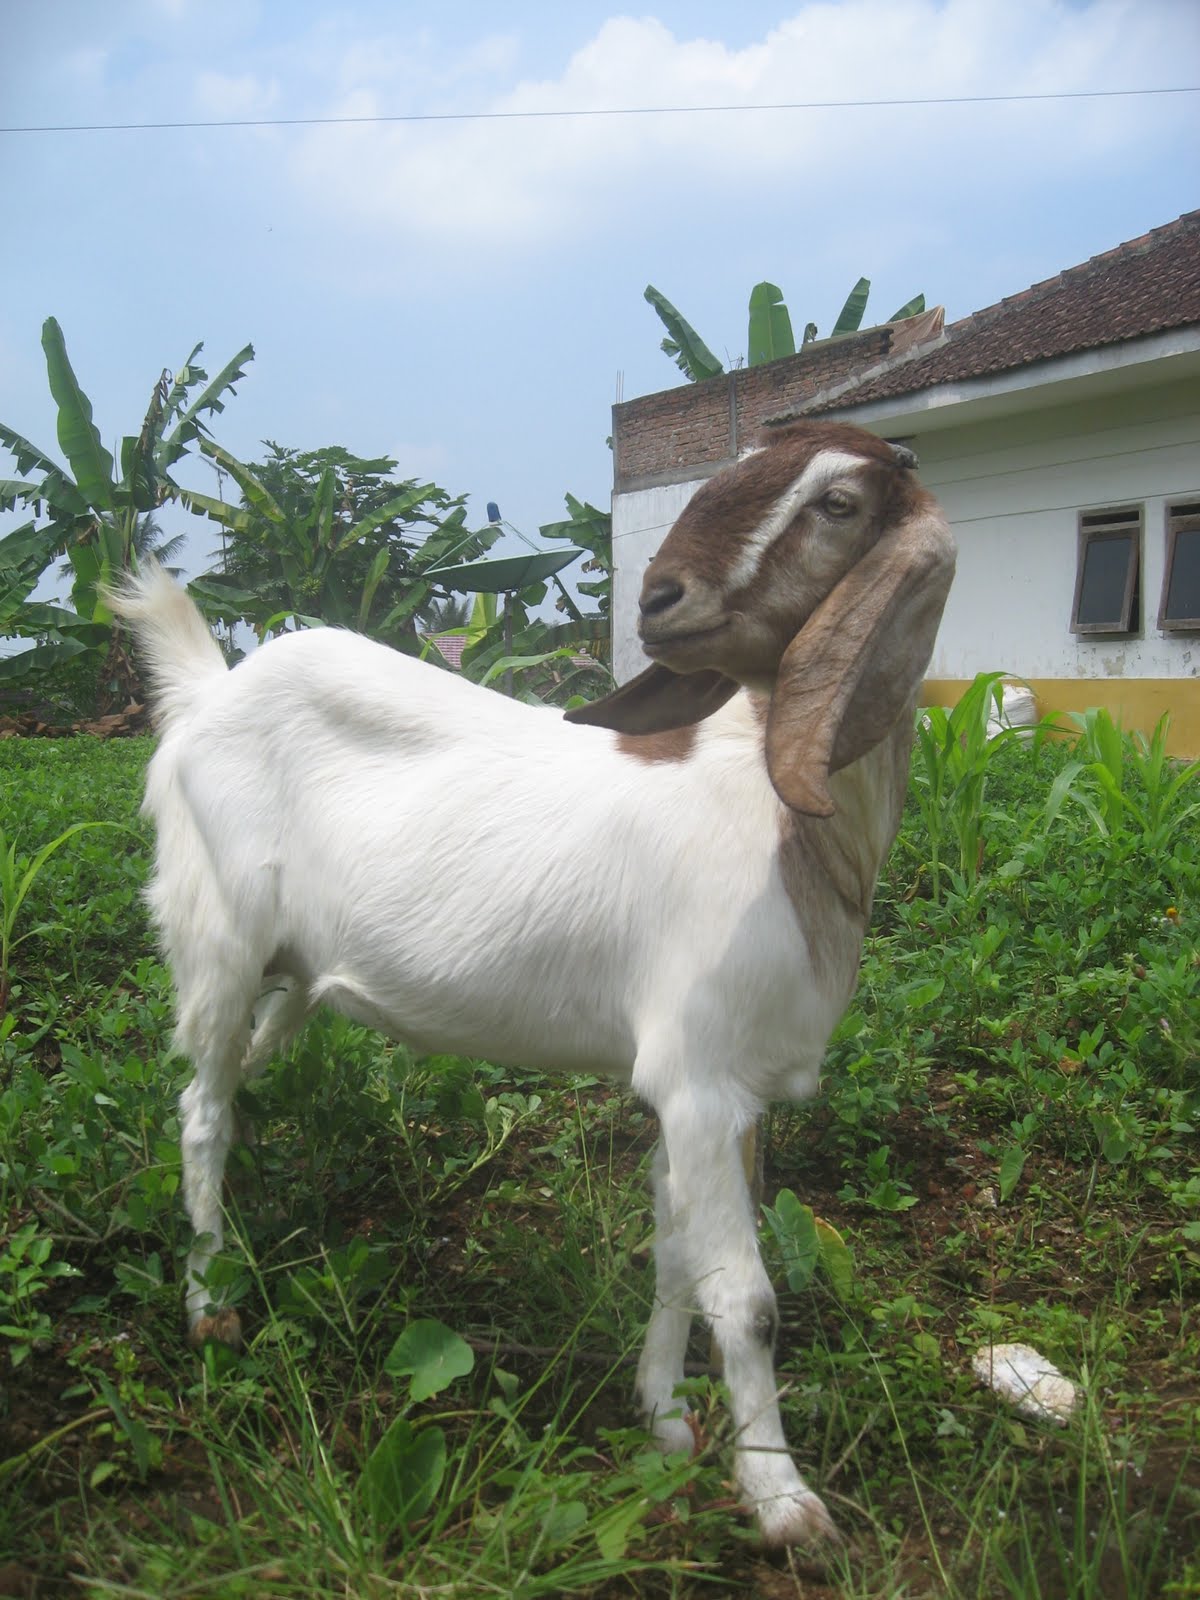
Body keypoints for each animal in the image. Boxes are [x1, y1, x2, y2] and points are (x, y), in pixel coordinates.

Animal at [108, 419, 954, 1547]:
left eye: (839, 503)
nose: (661, 597)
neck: (780, 820)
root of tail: (207, 691)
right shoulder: (697, 1076)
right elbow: (747, 1296)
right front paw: (783, 1501)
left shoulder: (717, 1093)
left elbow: (675, 1248)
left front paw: (665, 1417)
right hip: (218, 938)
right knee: (202, 1108)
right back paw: (212, 1305)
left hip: (290, 980)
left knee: (234, 1087)